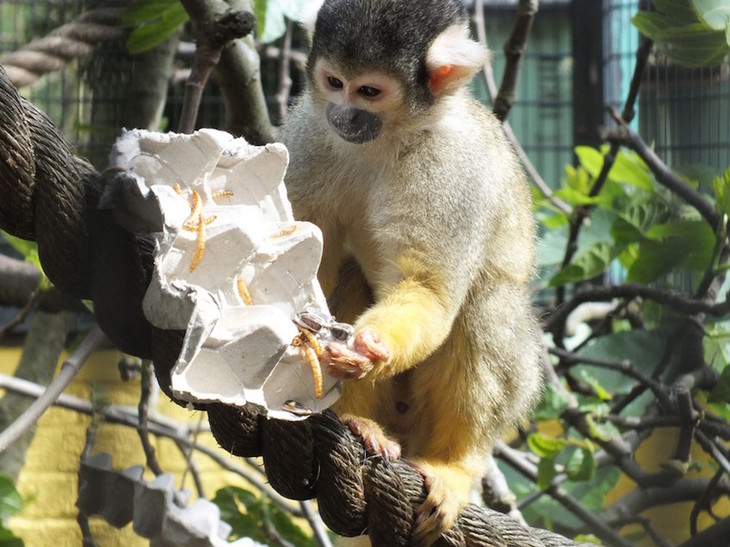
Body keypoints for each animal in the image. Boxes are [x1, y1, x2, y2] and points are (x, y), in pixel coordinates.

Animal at [279, 0, 543, 544]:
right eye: (334, 82)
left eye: (369, 92)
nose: (343, 114)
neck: (387, 138)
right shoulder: (311, 132)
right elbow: (303, 258)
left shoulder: (451, 169)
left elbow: (432, 293)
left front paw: (371, 348)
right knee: (351, 272)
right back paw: (358, 421)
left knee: (485, 305)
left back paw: (454, 464)